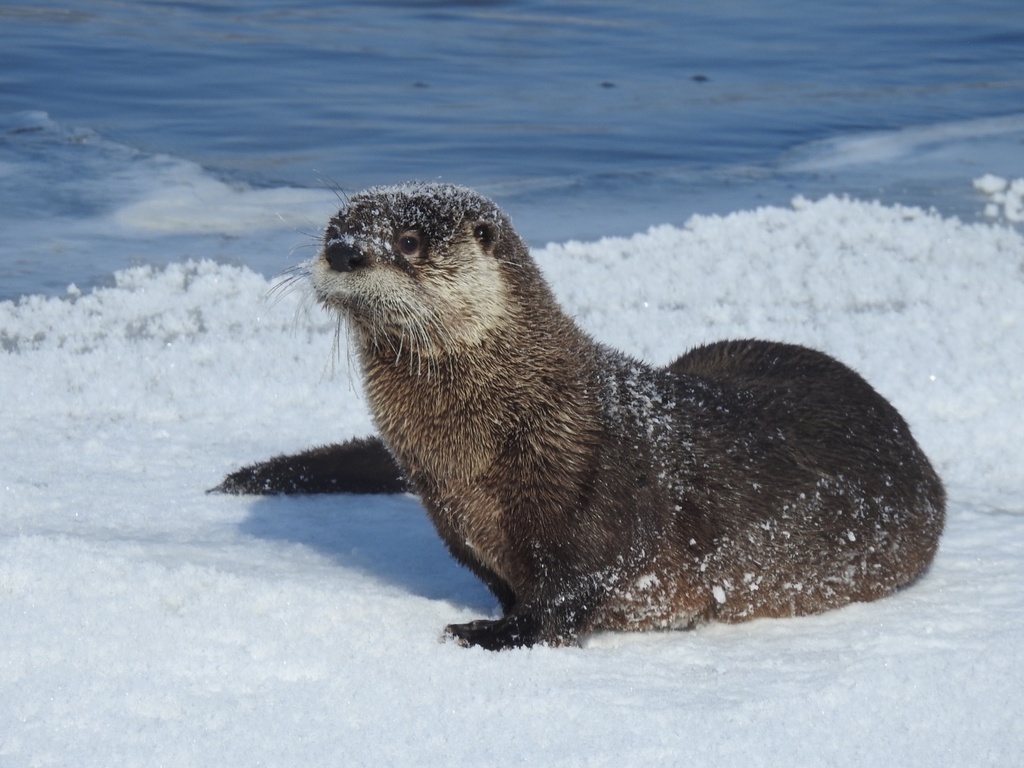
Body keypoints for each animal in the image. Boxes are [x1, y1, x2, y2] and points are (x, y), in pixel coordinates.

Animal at [216, 182, 945, 651]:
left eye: (410, 238)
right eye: (333, 228)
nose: (344, 251)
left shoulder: (595, 494)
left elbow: (571, 592)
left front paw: (489, 634)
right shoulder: (452, 515)